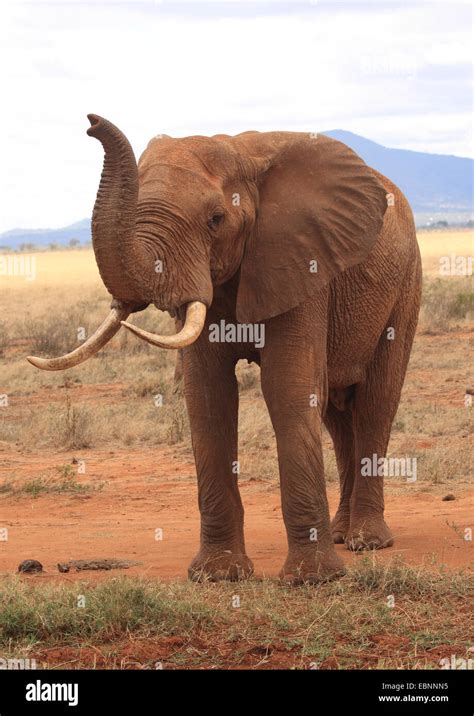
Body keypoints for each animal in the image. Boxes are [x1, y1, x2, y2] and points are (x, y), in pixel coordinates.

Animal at [28, 115, 422, 584]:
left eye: (216, 219)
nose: (91, 123)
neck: (241, 155)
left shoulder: (303, 261)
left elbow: (288, 388)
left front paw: (312, 579)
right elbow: (207, 394)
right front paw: (219, 575)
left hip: (406, 285)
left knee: (376, 403)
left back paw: (367, 542)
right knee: (337, 416)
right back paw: (343, 534)